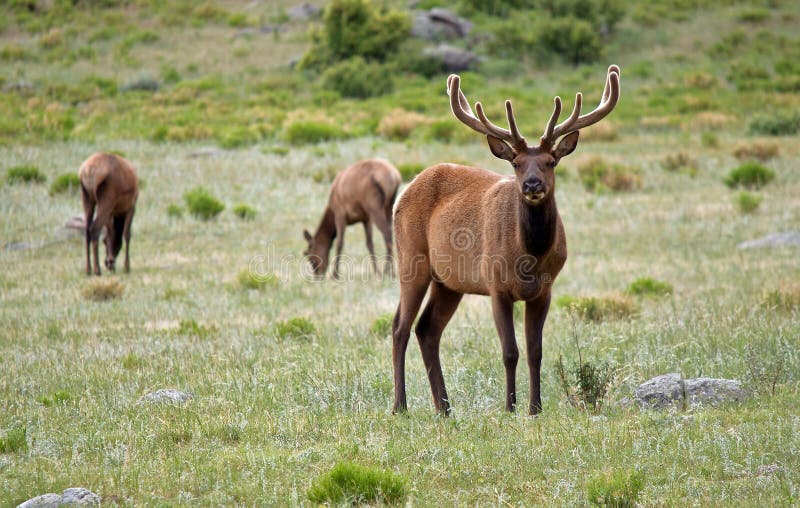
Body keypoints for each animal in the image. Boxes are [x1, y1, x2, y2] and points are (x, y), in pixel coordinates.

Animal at [391, 65, 620, 416]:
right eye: (516, 163)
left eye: (551, 161)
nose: (532, 184)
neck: (529, 257)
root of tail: (405, 190)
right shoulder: (496, 285)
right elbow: (510, 351)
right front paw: (510, 407)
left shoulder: (545, 290)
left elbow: (535, 351)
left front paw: (535, 407)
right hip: (411, 258)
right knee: (400, 328)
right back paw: (400, 406)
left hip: (449, 281)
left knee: (426, 329)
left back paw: (444, 408)